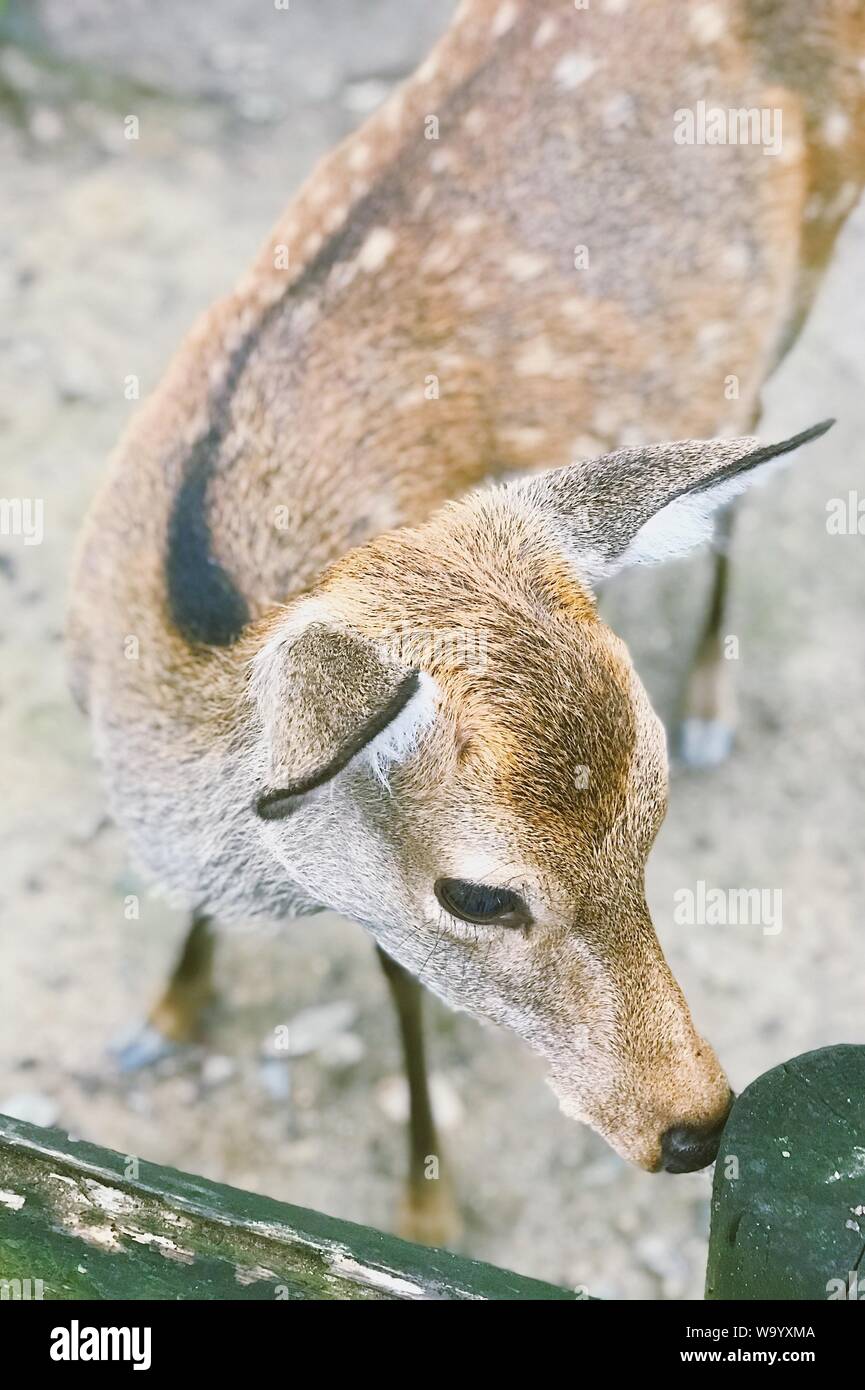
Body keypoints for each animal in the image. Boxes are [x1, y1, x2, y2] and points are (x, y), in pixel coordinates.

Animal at [68, 0, 863, 1247]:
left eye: (653, 823)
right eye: (481, 894)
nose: (699, 1125)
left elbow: (395, 977)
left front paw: (425, 1213)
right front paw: (168, 1009)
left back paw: (710, 699)